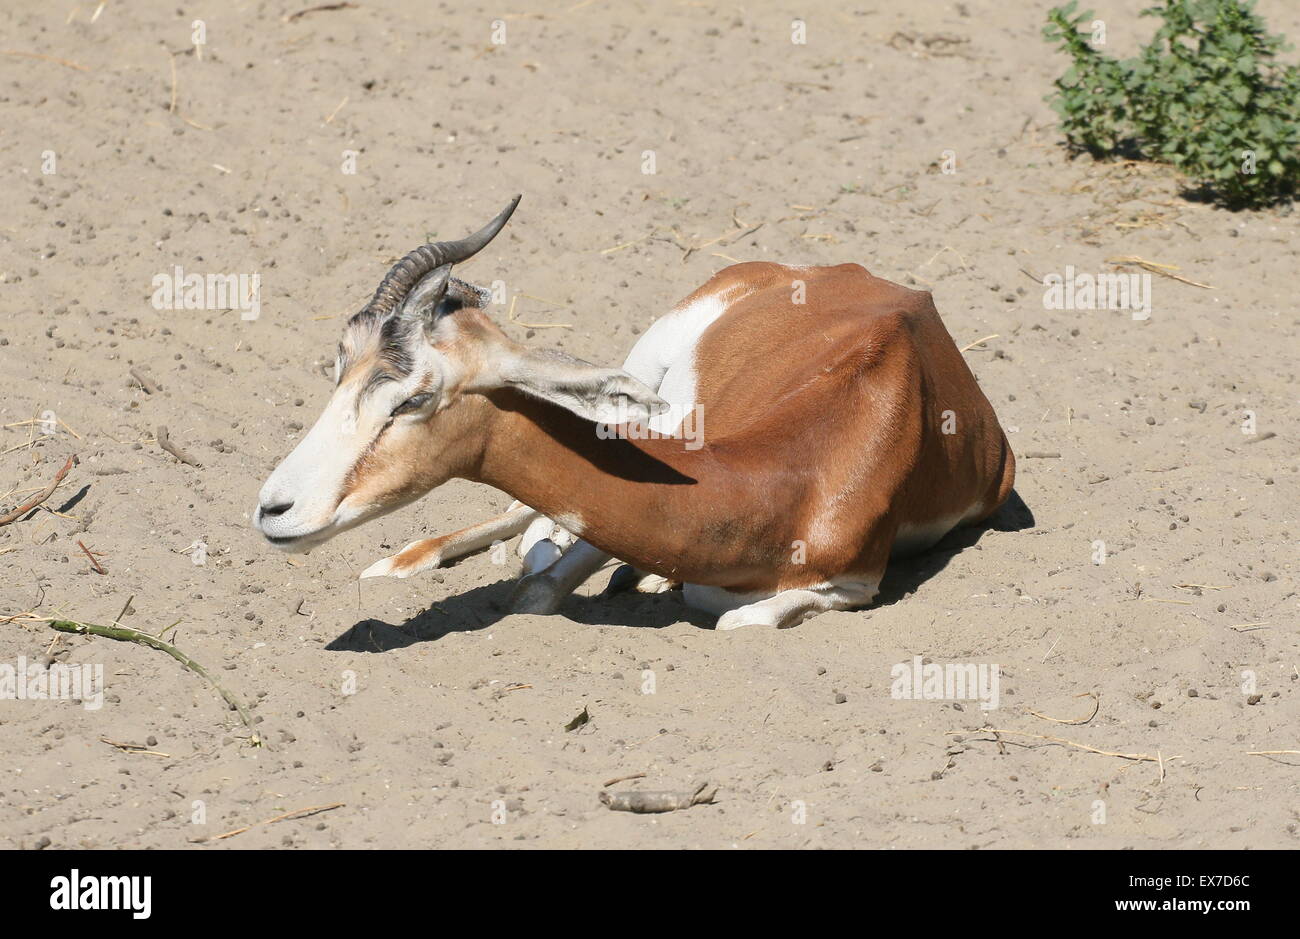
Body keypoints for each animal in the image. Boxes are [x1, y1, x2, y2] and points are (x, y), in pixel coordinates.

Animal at [255, 196, 1015, 630]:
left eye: (414, 398)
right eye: (340, 369)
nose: (272, 509)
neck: (796, 473)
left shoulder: (851, 585)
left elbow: (731, 616)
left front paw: (646, 576)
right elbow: (541, 584)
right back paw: (401, 562)